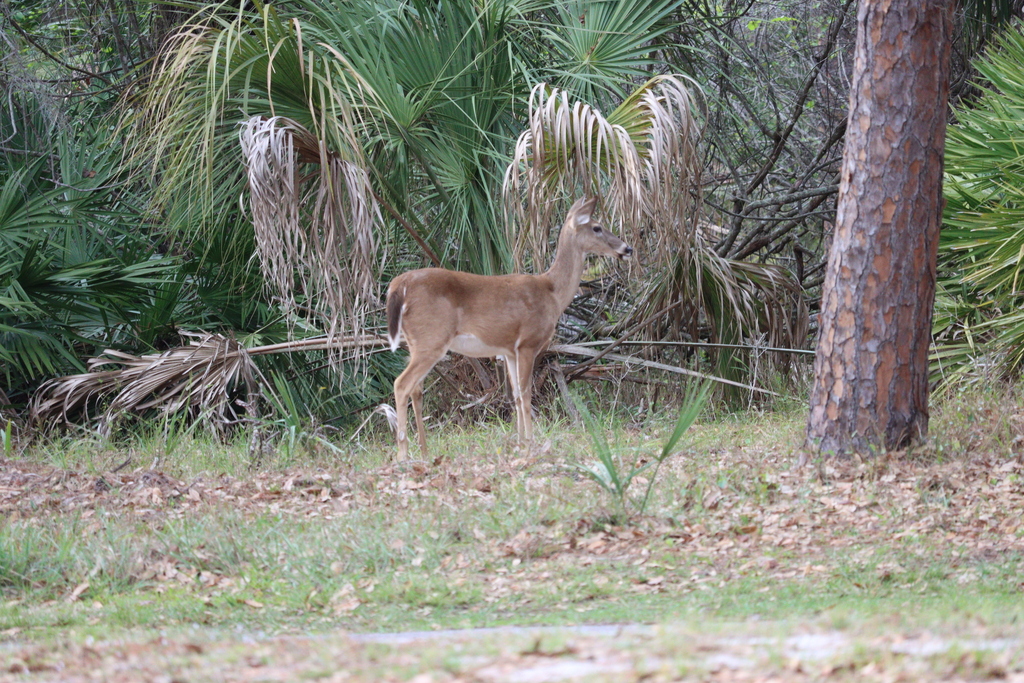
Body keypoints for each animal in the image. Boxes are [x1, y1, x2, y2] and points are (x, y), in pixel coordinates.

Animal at [385, 196, 633, 459]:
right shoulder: (528, 343)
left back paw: (423, 451)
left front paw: (521, 442)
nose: (627, 249)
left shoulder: (509, 350)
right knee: (402, 384)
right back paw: (403, 456)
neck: (553, 293)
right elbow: (525, 394)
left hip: (415, 342)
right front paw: (531, 444)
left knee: (416, 389)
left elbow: (515, 396)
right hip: (431, 338)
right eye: (597, 227)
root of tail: (398, 285)